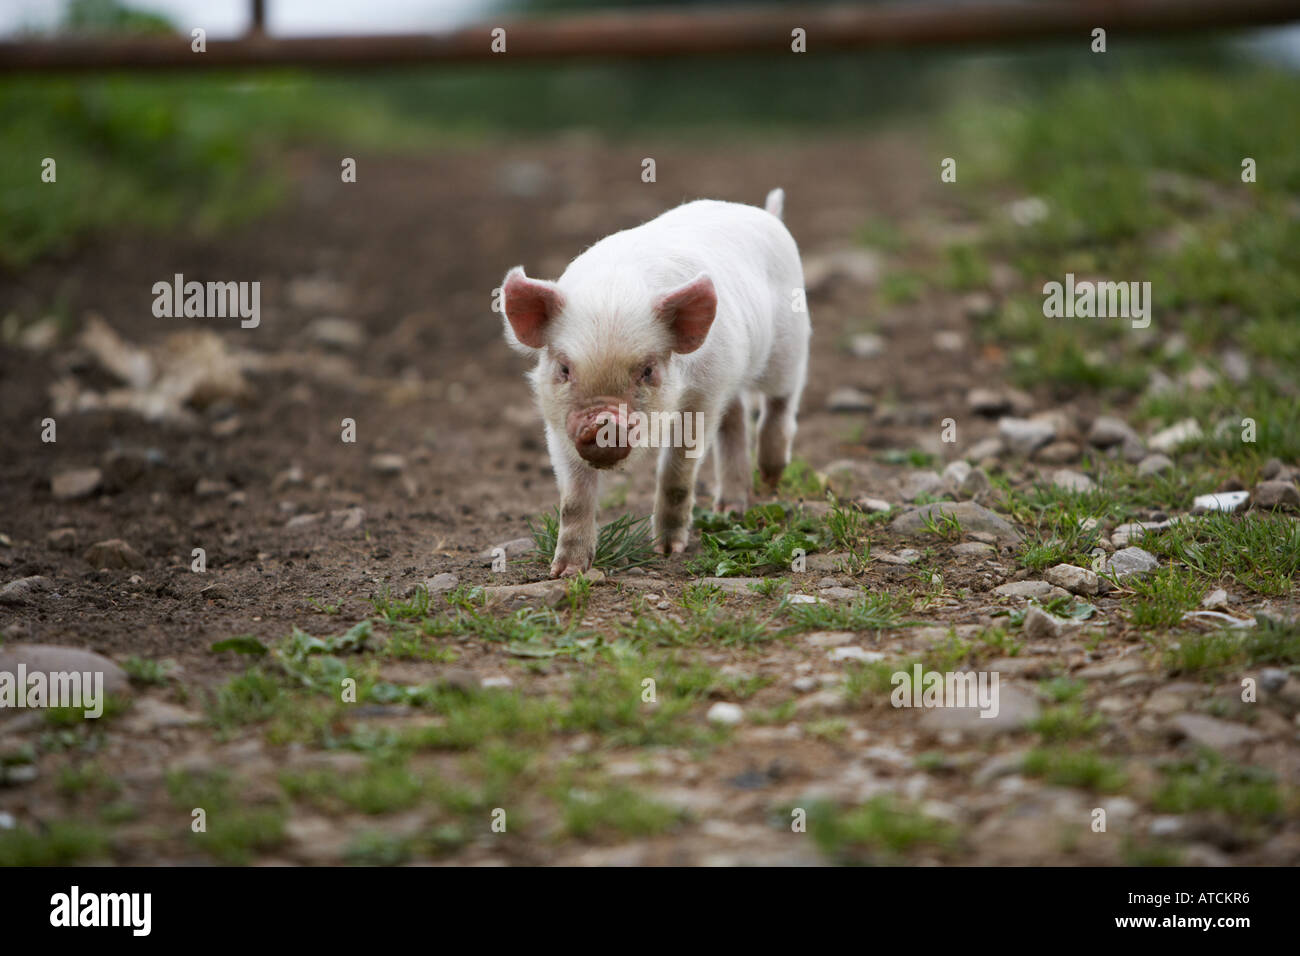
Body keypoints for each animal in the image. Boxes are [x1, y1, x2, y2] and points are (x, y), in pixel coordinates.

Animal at [500, 188, 810, 578]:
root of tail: (765, 214)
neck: (614, 295)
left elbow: (676, 473)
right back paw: (728, 510)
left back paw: (770, 478)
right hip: (732, 375)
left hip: (789, 343)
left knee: (781, 400)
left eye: (647, 371)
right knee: (736, 418)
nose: (602, 423)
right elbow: (574, 497)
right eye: (565, 369)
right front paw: (566, 572)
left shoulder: (702, 397)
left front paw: (665, 551)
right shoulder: (558, 424)